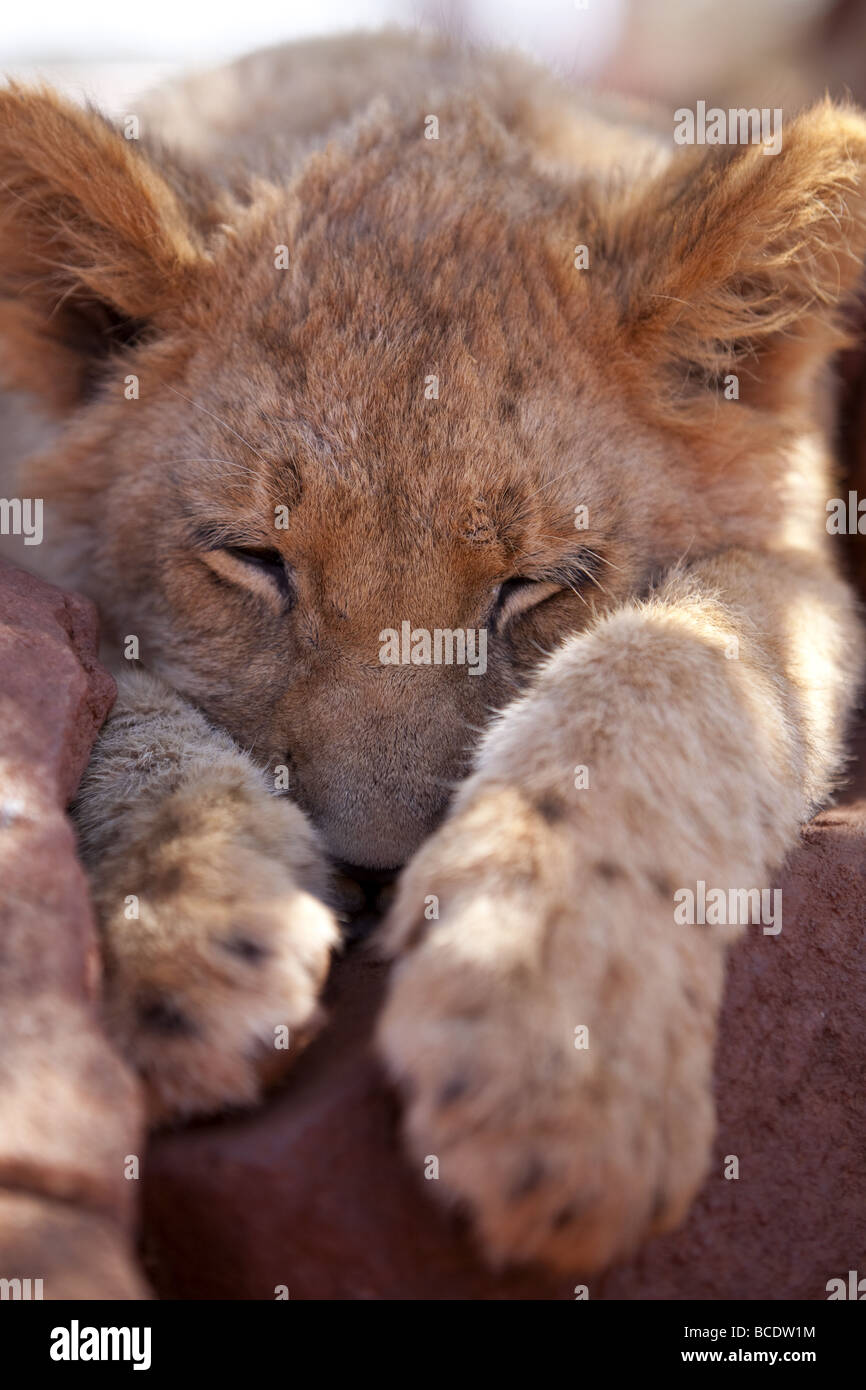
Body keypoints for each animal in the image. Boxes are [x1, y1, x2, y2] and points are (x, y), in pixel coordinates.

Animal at [1, 28, 864, 1274]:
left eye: (535, 583)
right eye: (252, 557)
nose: (372, 869)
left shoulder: (796, 572)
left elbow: (678, 666)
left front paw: (547, 1027)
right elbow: (119, 694)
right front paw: (188, 918)